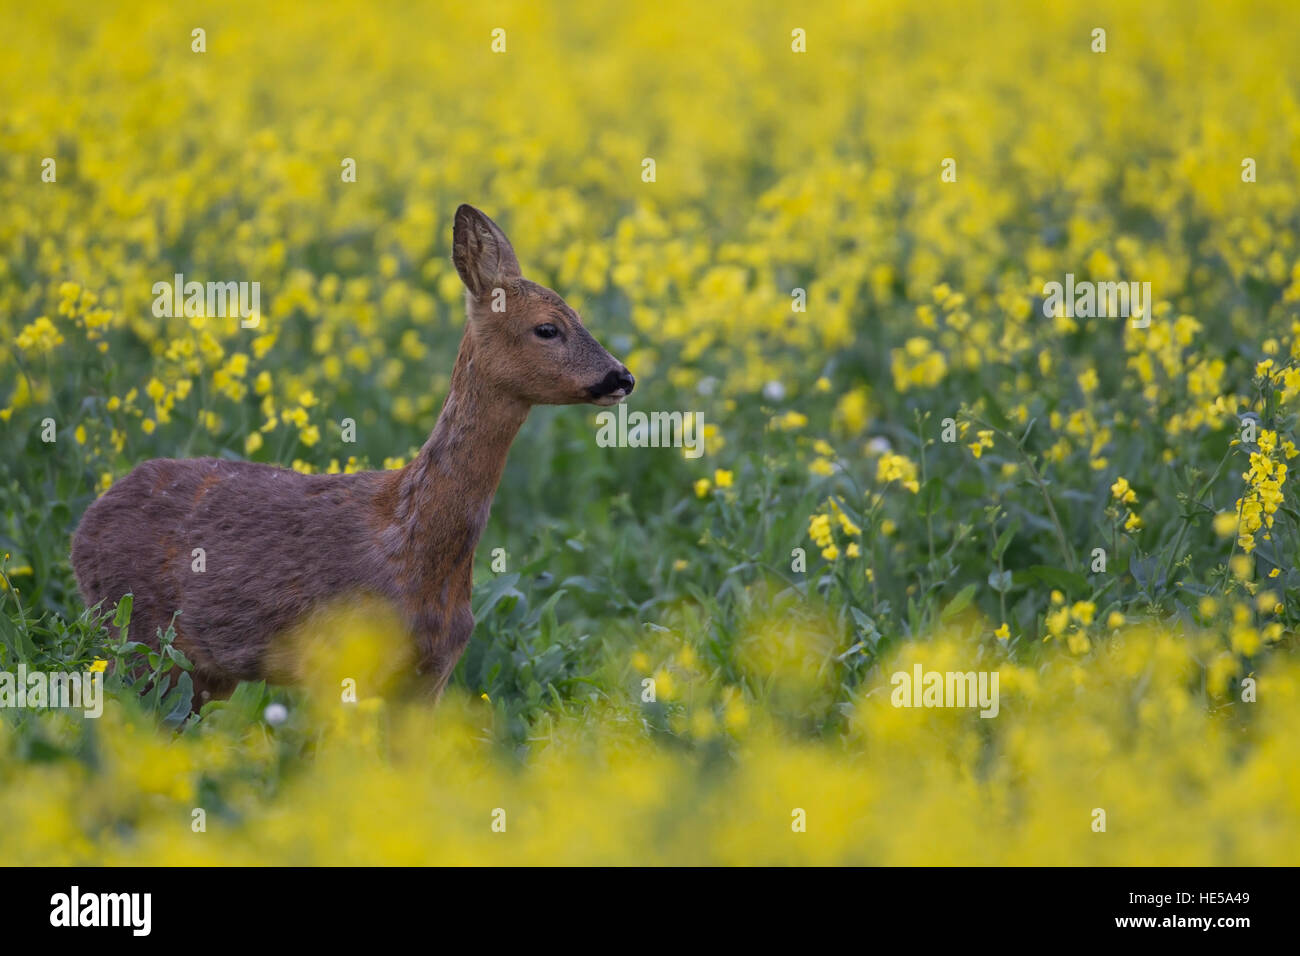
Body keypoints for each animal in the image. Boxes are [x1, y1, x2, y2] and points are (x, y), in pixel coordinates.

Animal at [70, 204, 635, 707]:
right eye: (548, 328)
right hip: (138, 635)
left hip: (199, 670)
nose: (622, 377)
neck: (408, 540)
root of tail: (83, 527)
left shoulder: (432, 675)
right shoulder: (338, 660)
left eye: (580, 315)